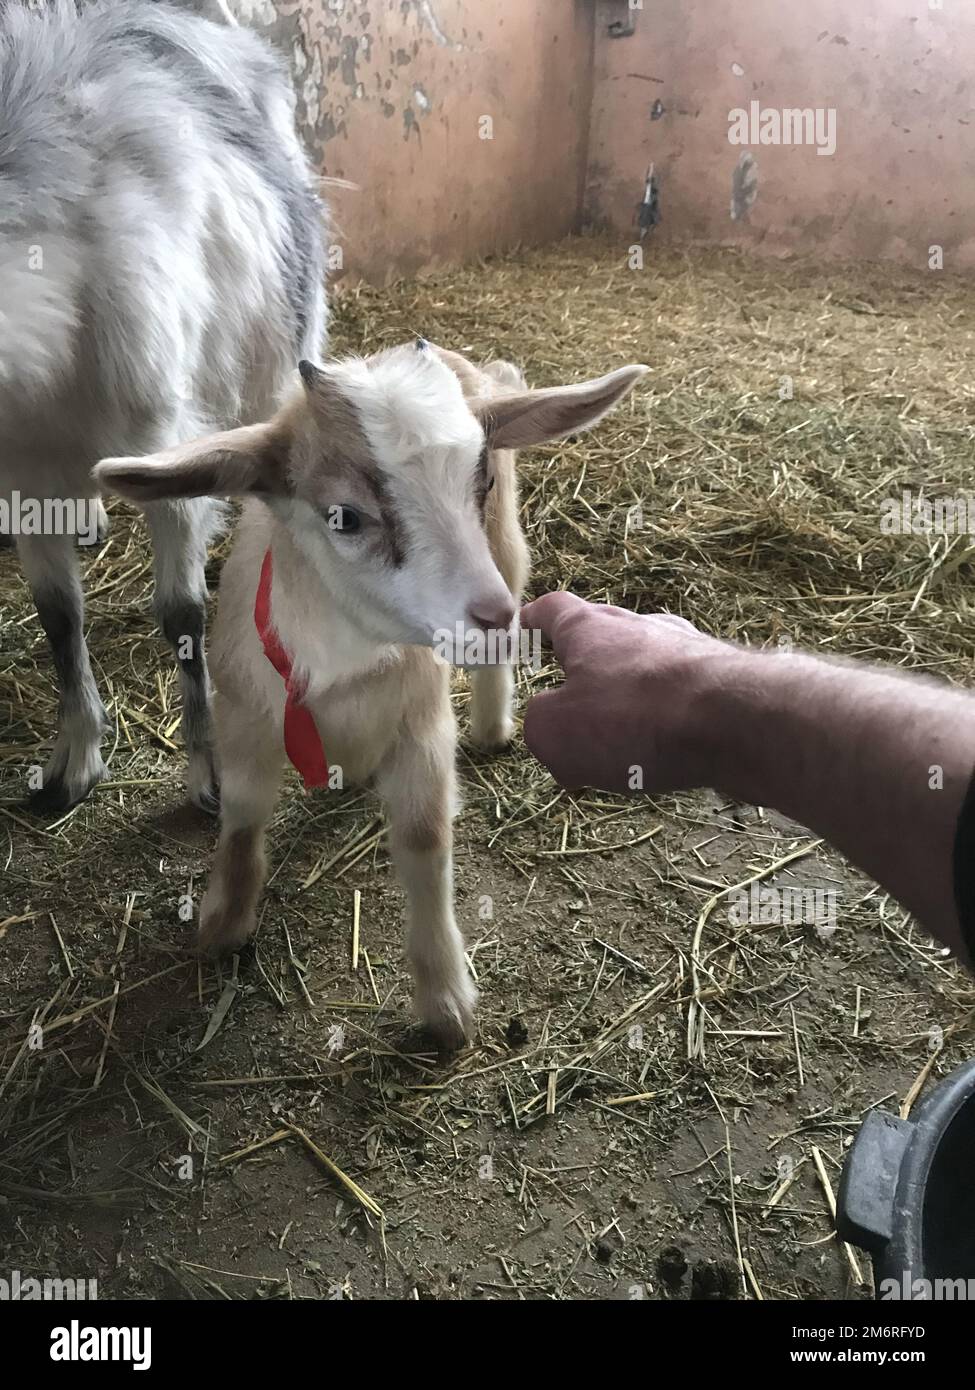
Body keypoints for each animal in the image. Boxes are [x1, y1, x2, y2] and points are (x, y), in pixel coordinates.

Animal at [0, 0, 326, 811]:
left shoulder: (162, 442)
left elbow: (180, 613)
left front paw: (210, 771)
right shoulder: (21, 471)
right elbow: (57, 612)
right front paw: (74, 761)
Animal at [95, 342, 648, 1048]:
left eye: (481, 485)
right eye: (344, 516)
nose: (491, 619)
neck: (344, 662)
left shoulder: (422, 728)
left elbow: (423, 839)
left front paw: (445, 1002)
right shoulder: (245, 719)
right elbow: (243, 818)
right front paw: (223, 925)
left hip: (504, 551)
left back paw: (493, 724)